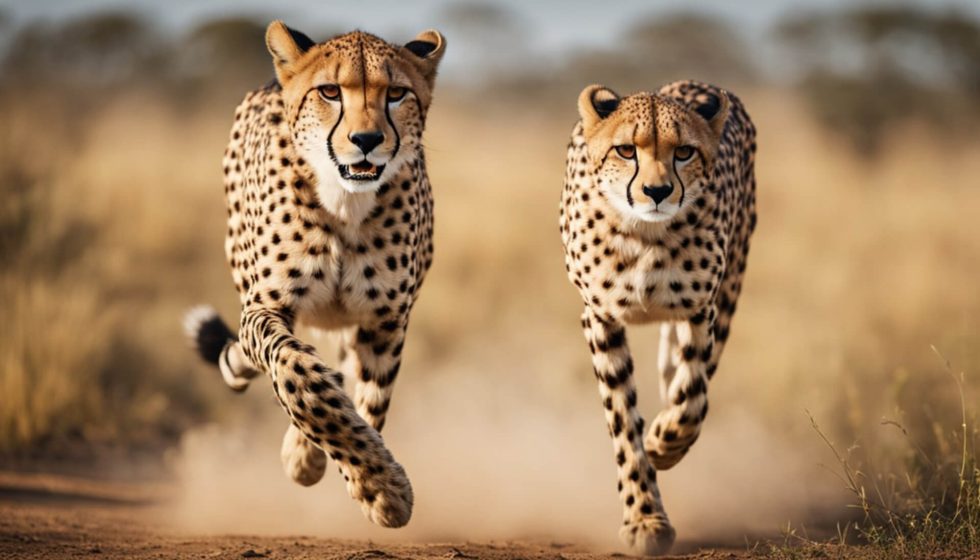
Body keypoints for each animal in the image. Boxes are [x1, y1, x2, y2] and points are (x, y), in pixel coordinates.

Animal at [183, 21, 446, 529]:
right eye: (329, 91)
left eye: (396, 94)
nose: (366, 139)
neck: (346, 201)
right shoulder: (266, 306)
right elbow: (298, 376)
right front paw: (381, 488)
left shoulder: (384, 322)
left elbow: (368, 401)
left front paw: (353, 476)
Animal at [559, 80, 757, 555]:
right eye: (625, 150)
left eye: (683, 152)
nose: (657, 192)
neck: (646, 237)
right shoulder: (601, 318)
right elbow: (623, 421)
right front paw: (645, 518)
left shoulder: (701, 310)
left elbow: (693, 395)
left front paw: (664, 442)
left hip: (730, 286)